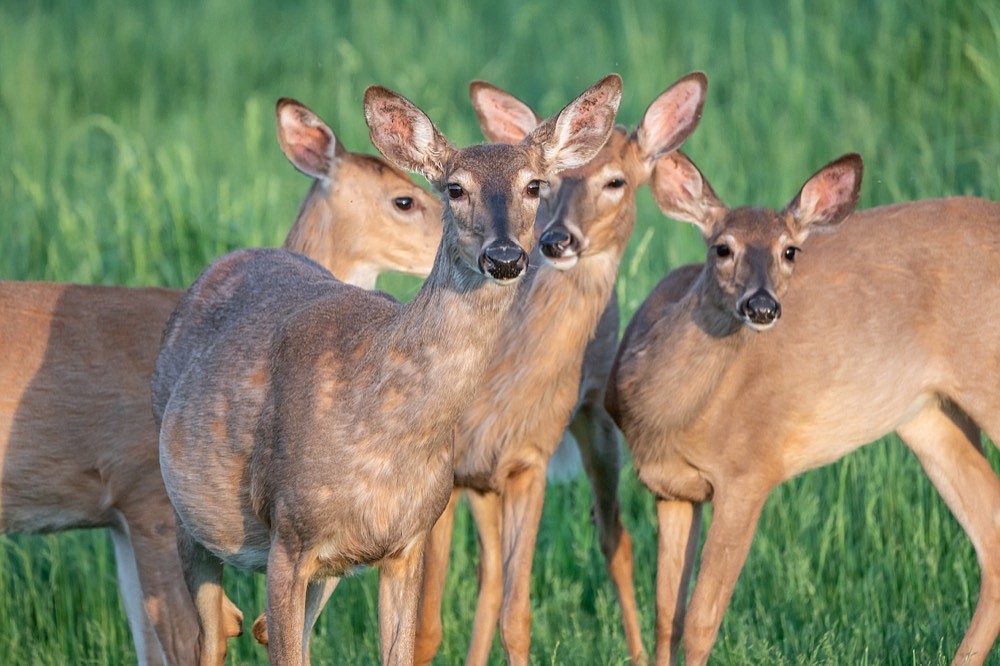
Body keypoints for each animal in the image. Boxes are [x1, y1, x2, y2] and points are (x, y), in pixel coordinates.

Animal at [150, 75, 622, 666]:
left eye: (535, 186)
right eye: (455, 188)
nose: (506, 257)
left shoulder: (406, 542)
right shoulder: (288, 536)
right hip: (188, 515)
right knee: (209, 638)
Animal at [400, 72, 707, 666]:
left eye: (616, 181)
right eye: (551, 184)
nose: (556, 240)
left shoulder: (530, 459)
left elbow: (518, 618)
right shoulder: (451, 469)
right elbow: (425, 627)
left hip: (595, 419)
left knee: (614, 538)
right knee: (490, 575)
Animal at [606, 148, 1000, 665]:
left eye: (790, 250)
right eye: (722, 248)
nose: (762, 306)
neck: (664, 413)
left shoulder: (748, 472)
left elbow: (700, 621)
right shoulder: (671, 490)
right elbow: (665, 619)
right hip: (930, 416)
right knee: (993, 539)